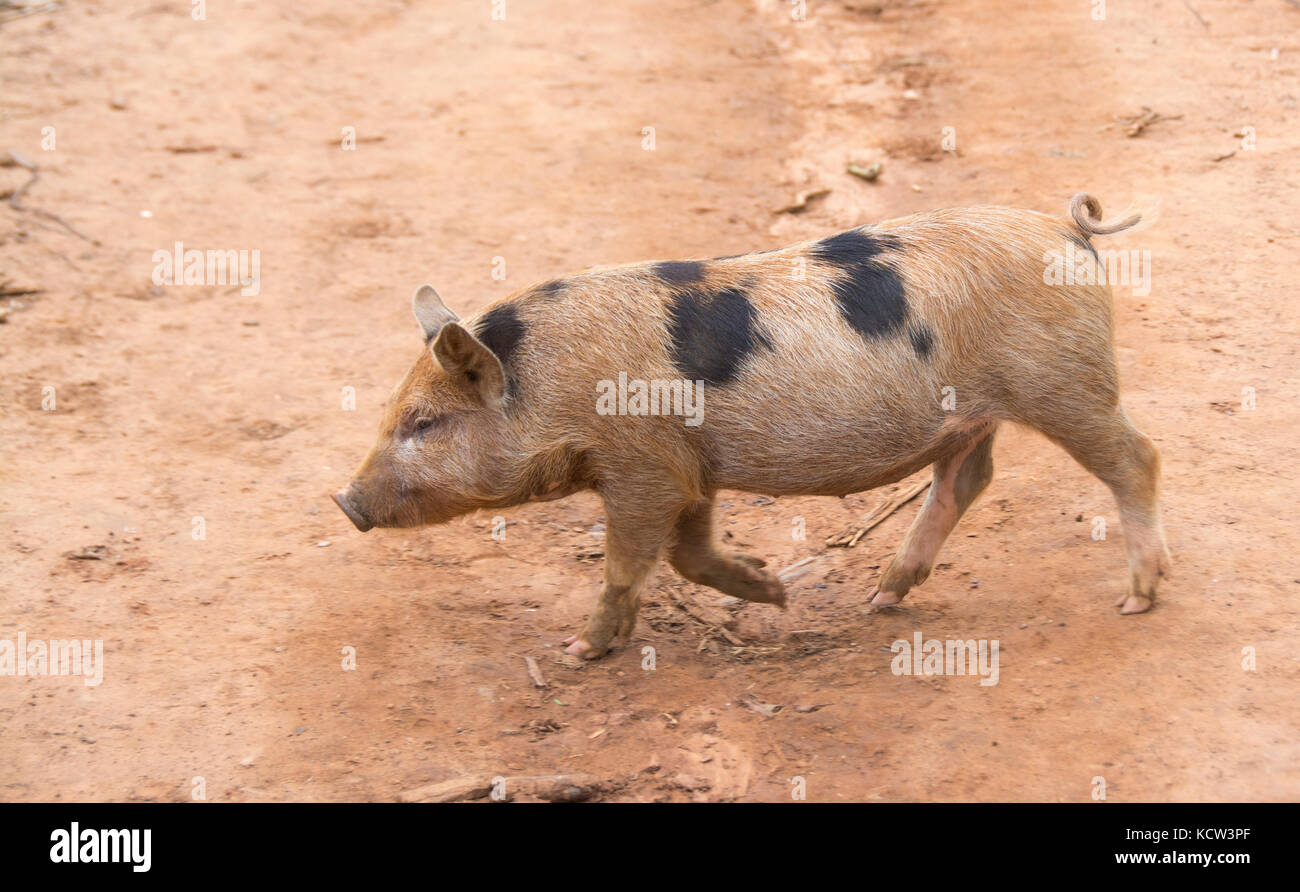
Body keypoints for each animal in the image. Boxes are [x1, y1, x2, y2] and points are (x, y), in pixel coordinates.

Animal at [334, 193, 1169, 660]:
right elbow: (689, 554)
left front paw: (576, 652)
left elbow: (629, 563)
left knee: (1138, 459)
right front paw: (773, 593)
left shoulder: (643, 467)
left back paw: (1138, 599)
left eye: (425, 422)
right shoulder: (688, 465)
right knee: (965, 481)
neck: (554, 387)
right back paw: (881, 598)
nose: (343, 501)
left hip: (1066, 384)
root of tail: (1067, 232)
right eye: (397, 414)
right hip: (975, 414)